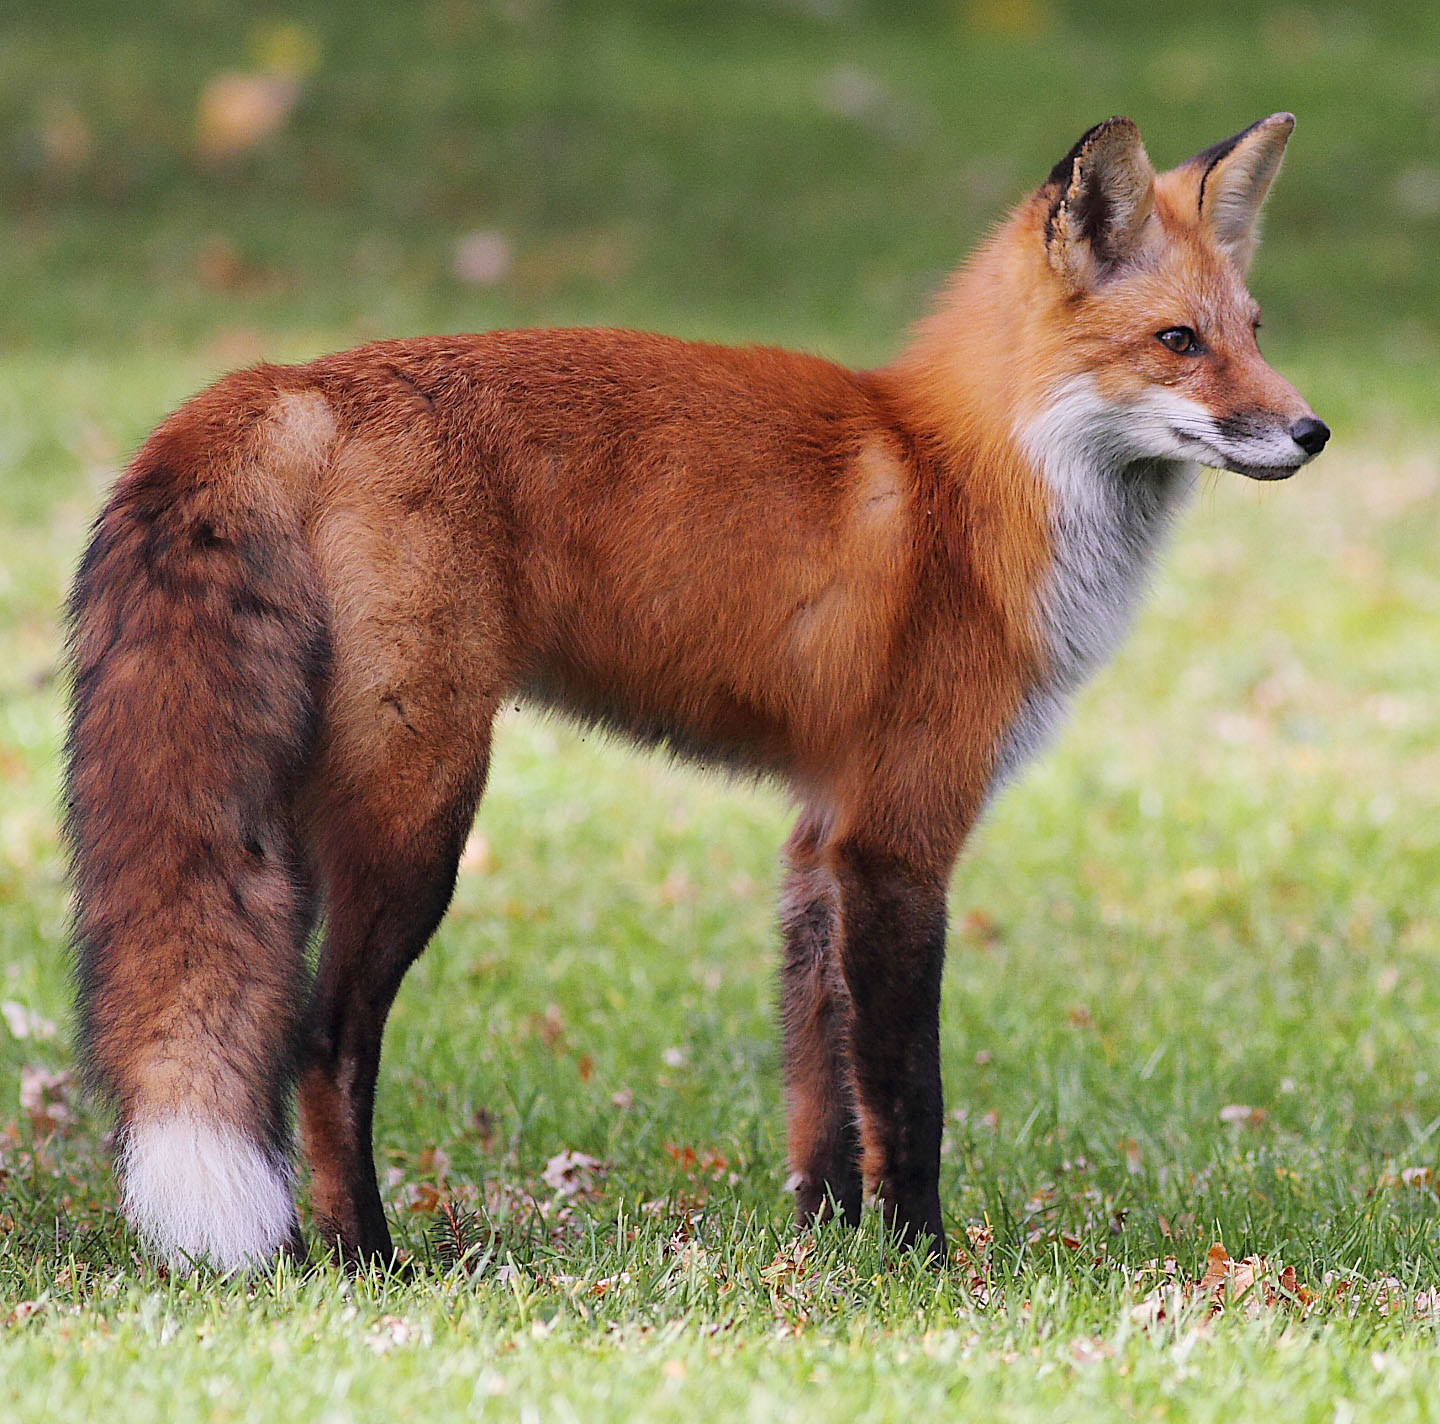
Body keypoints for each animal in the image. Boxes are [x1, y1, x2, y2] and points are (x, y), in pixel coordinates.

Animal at [66, 113, 1328, 1273]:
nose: (1313, 431)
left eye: (1255, 332)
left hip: (311, 825)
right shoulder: (898, 840)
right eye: (1179, 341)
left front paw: (825, 1255)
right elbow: (910, 1094)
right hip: (419, 817)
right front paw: (927, 1264)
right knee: (323, 1043)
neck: (974, 486)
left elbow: (822, 1090)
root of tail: (295, 379)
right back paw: (370, 1256)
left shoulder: (822, 837)